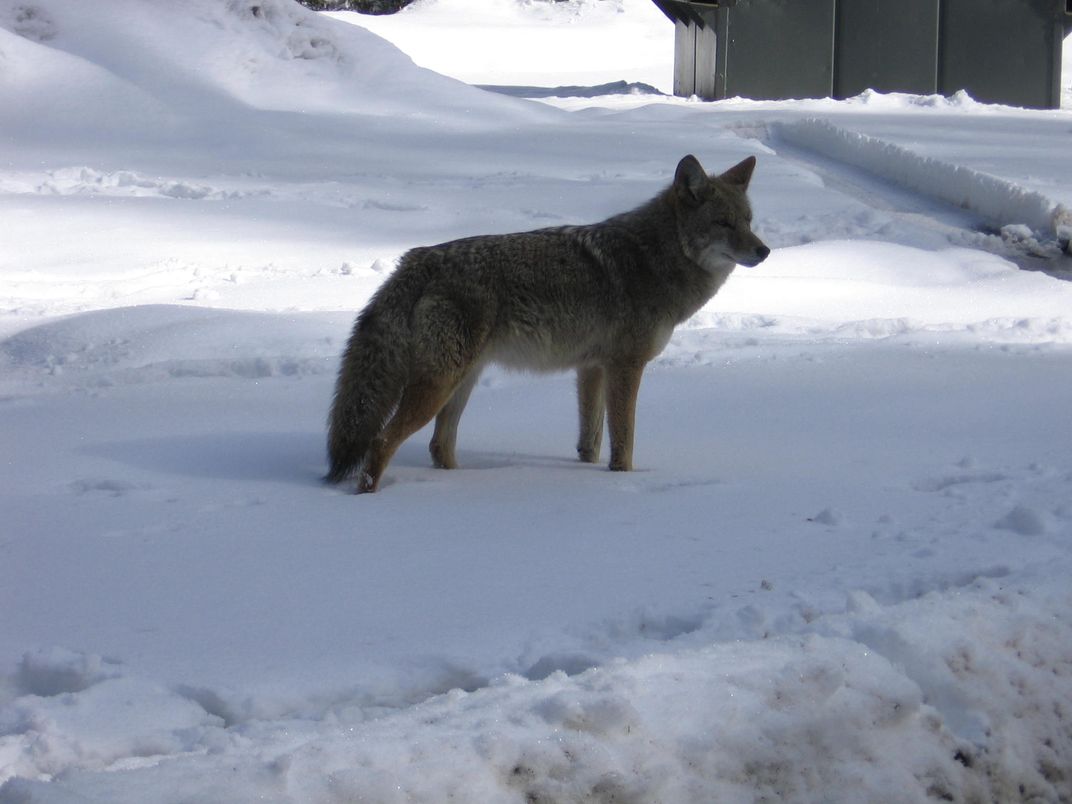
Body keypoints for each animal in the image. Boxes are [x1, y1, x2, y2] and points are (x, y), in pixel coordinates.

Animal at [327, 154, 769, 492]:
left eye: (749, 220)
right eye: (724, 223)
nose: (764, 251)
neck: (654, 258)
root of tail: (417, 259)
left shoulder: (592, 368)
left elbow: (591, 441)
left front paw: (589, 472)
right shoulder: (626, 367)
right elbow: (623, 441)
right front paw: (624, 481)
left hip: (461, 384)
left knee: (439, 446)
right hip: (439, 386)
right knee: (381, 441)